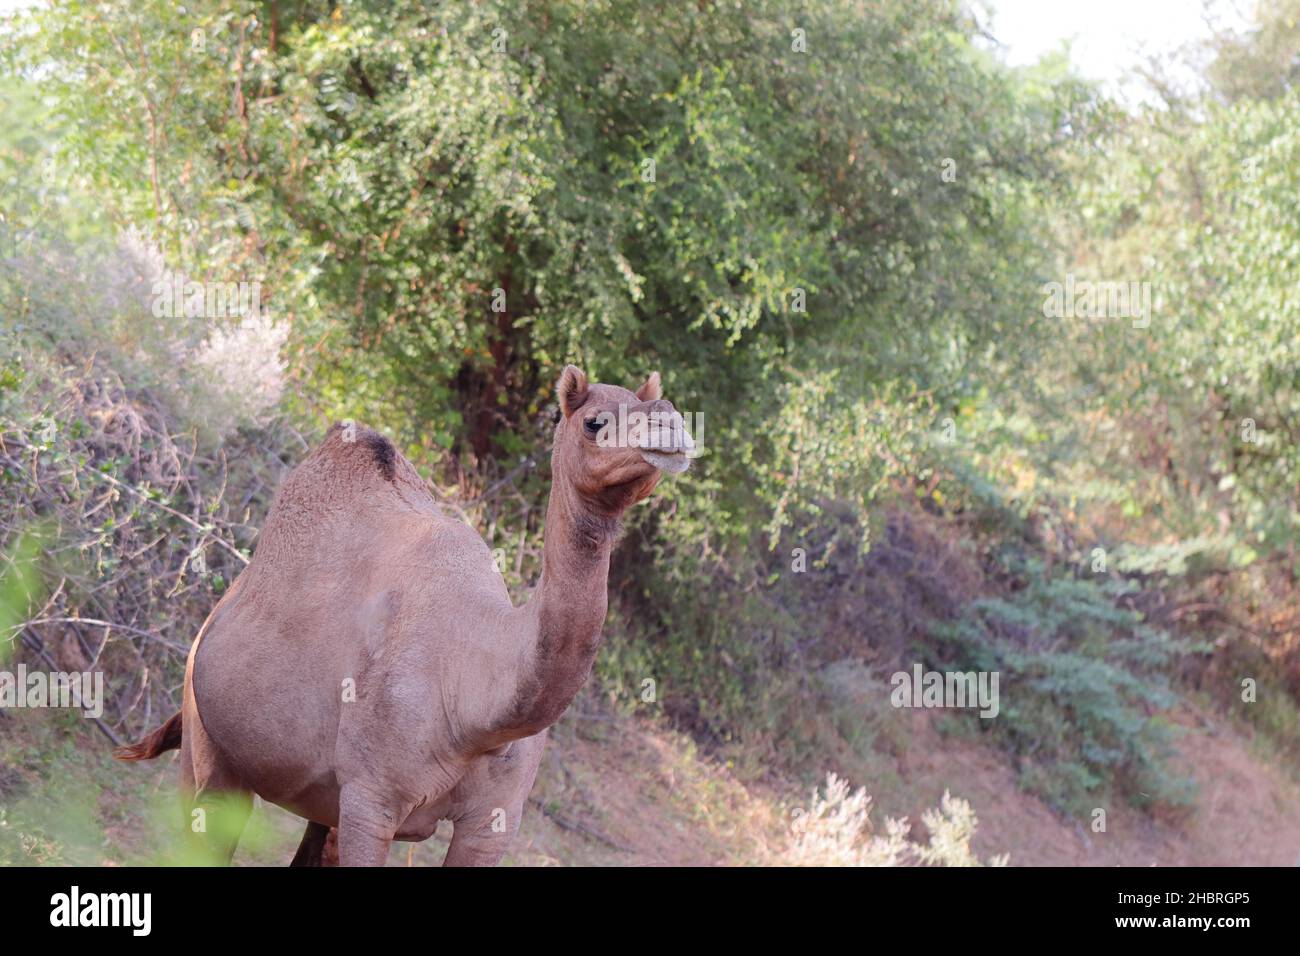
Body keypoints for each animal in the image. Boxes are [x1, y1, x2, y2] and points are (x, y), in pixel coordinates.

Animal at [115, 366, 692, 866]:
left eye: (658, 406)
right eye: (594, 421)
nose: (673, 425)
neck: (474, 705)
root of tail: (210, 622)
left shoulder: (493, 822)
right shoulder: (372, 800)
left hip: (312, 799)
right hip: (205, 741)